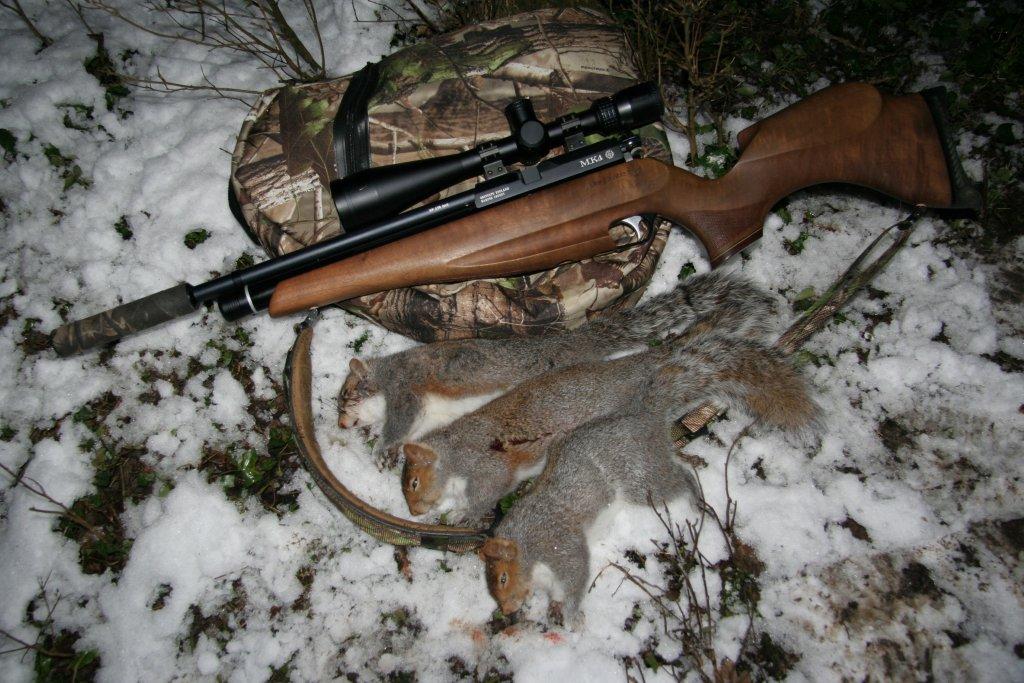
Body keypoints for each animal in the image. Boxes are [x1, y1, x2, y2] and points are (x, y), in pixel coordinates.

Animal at [337, 272, 778, 456]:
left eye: (346, 395)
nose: (341, 425)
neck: (384, 376)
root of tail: (573, 343)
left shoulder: (404, 385)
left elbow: (401, 419)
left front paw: (383, 448)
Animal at [400, 327, 819, 524]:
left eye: (414, 482)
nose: (415, 514)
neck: (455, 447)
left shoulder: (486, 466)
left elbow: (488, 492)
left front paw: (463, 515)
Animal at [480, 409, 698, 623]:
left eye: (503, 578)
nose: (507, 611)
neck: (524, 545)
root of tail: (646, 420)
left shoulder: (556, 543)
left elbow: (576, 575)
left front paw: (572, 617)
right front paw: (556, 608)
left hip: (639, 480)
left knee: (683, 477)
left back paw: (696, 500)